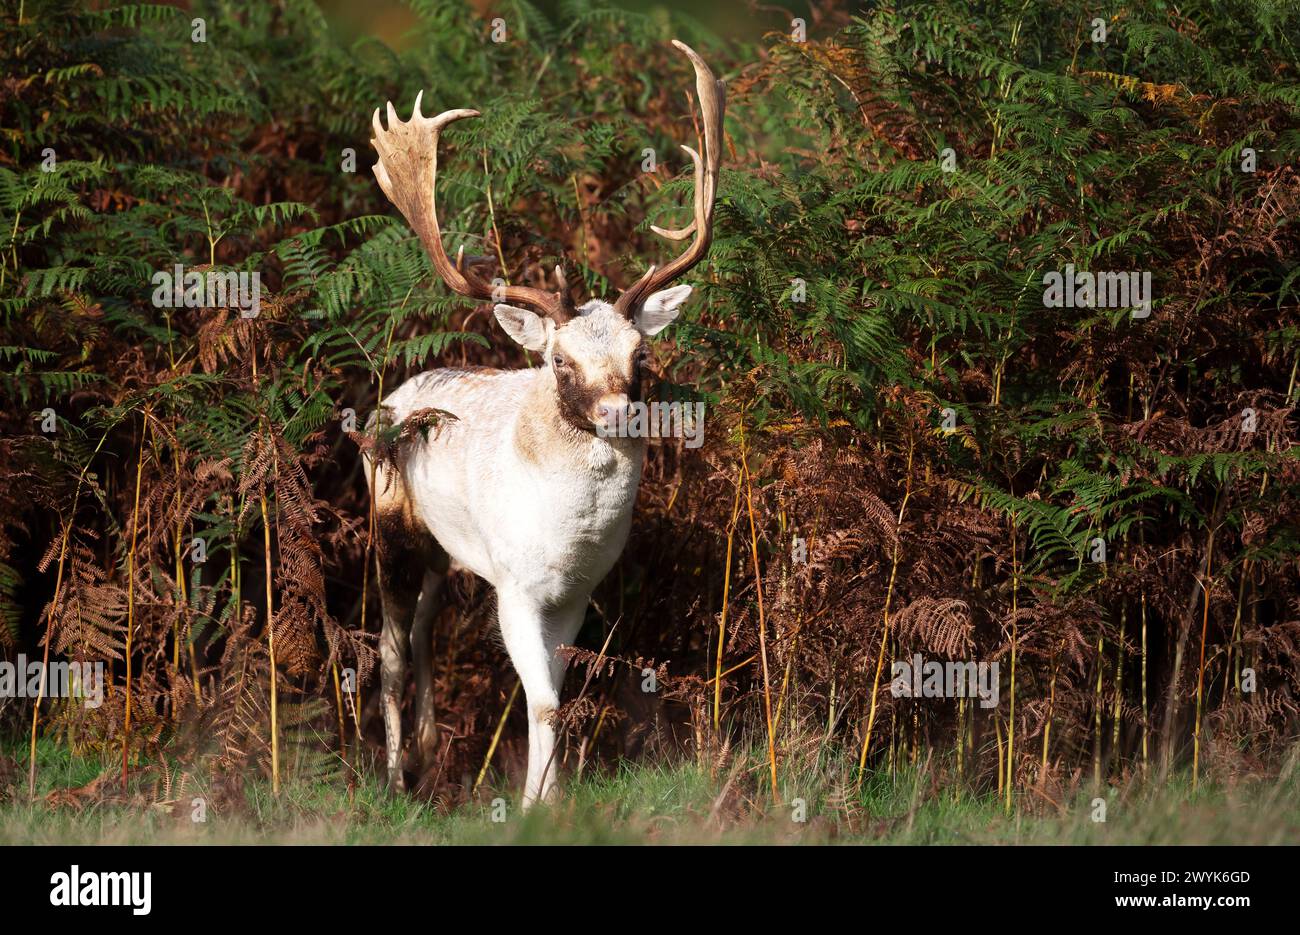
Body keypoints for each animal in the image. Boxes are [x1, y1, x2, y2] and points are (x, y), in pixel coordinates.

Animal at [364, 40, 724, 807]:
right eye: (559, 360)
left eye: (640, 352)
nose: (618, 410)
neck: (569, 538)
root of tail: (401, 391)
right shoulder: (517, 584)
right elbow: (542, 699)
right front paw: (536, 802)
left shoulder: (575, 593)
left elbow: (553, 698)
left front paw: (546, 794)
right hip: (389, 523)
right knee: (388, 648)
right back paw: (394, 777)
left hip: (445, 550)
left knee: (426, 631)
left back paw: (429, 755)